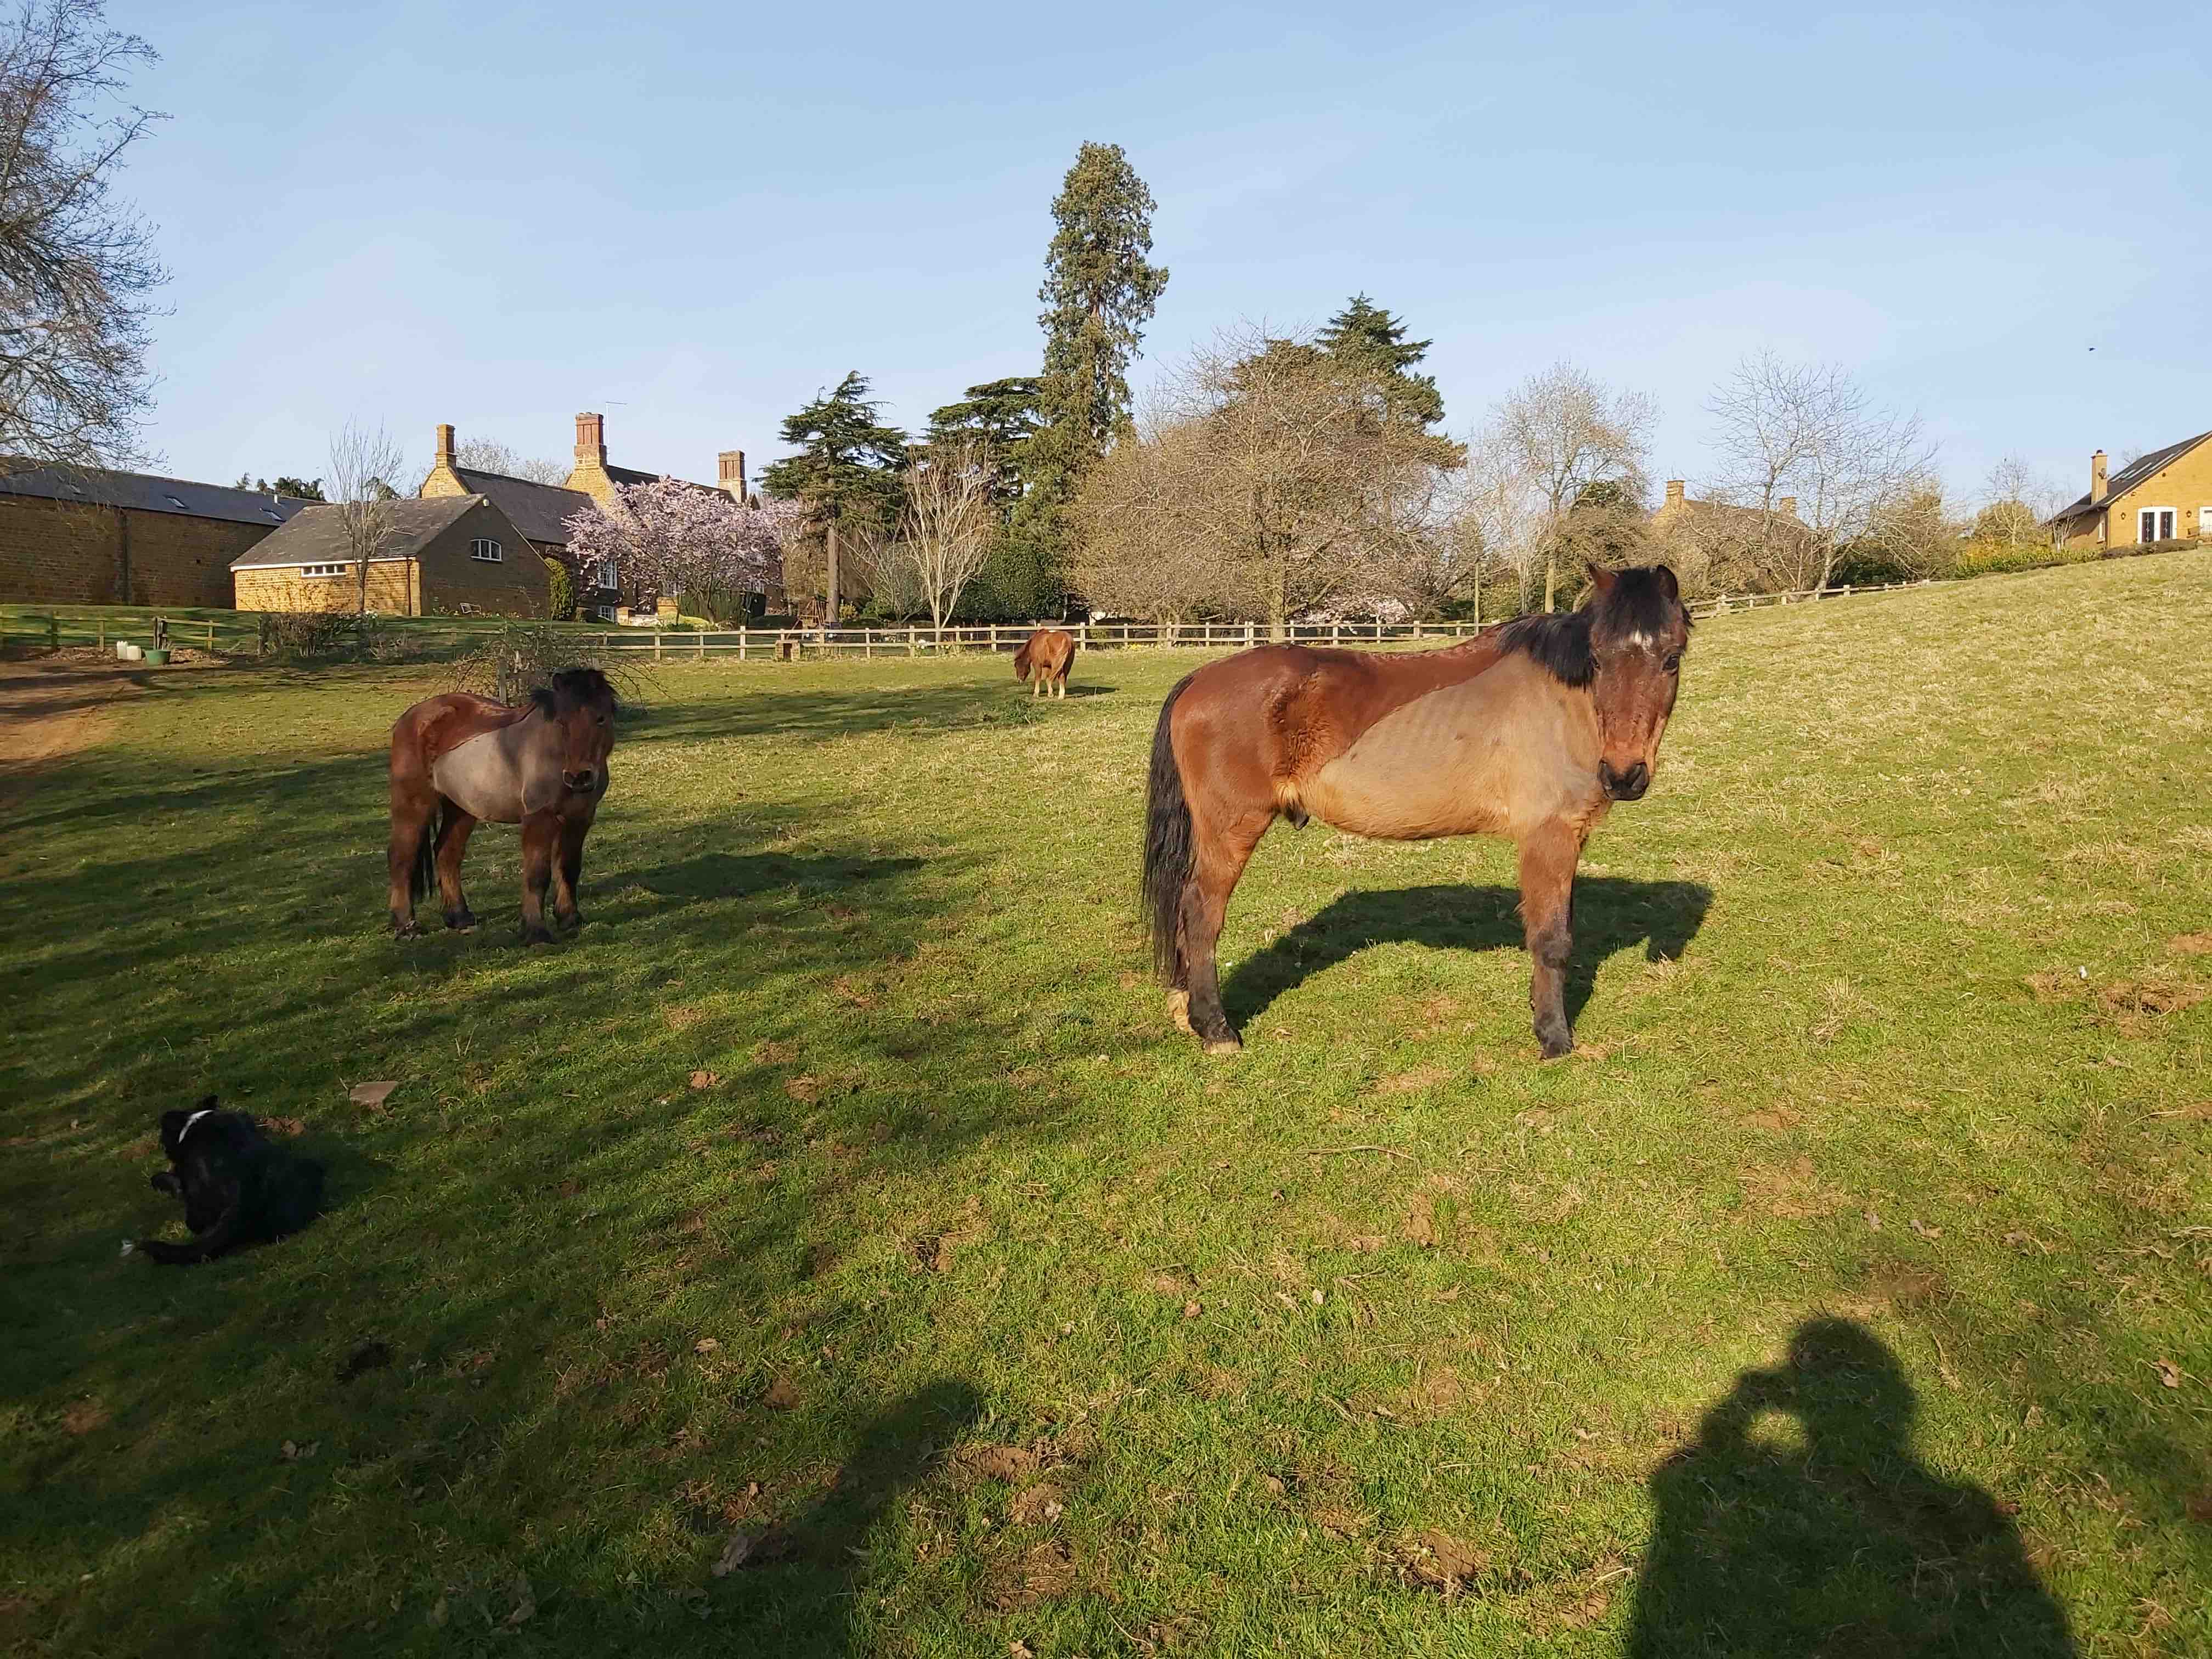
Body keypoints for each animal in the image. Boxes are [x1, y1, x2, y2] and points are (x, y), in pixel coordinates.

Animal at [386, 667, 618, 942]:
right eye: (562, 723)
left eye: (601, 719)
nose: (579, 777)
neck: (555, 754)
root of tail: (411, 717)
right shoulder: (539, 818)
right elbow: (537, 875)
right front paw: (535, 931)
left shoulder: (580, 818)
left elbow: (569, 868)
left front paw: (570, 919)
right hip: (414, 805)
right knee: (403, 858)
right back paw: (406, 926)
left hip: (461, 809)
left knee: (447, 853)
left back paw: (459, 917)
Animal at [1014, 627, 1076, 698]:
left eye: (1017, 666)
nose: (1019, 681)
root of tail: (1066, 639)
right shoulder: (1047, 666)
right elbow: (1046, 678)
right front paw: (1050, 693)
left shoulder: (1037, 664)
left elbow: (1038, 677)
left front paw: (1036, 694)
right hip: (1066, 665)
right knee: (1062, 678)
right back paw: (1061, 696)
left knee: (1056, 678)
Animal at [1140, 564, 1689, 1060]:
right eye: (1597, 659)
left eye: (1671, 659)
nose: (1624, 774)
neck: (1562, 704)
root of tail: (1200, 678)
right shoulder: (1548, 836)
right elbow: (1552, 939)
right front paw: (1554, 1038)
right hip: (1231, 832)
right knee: (1201, 914)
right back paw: (1216, 1029)